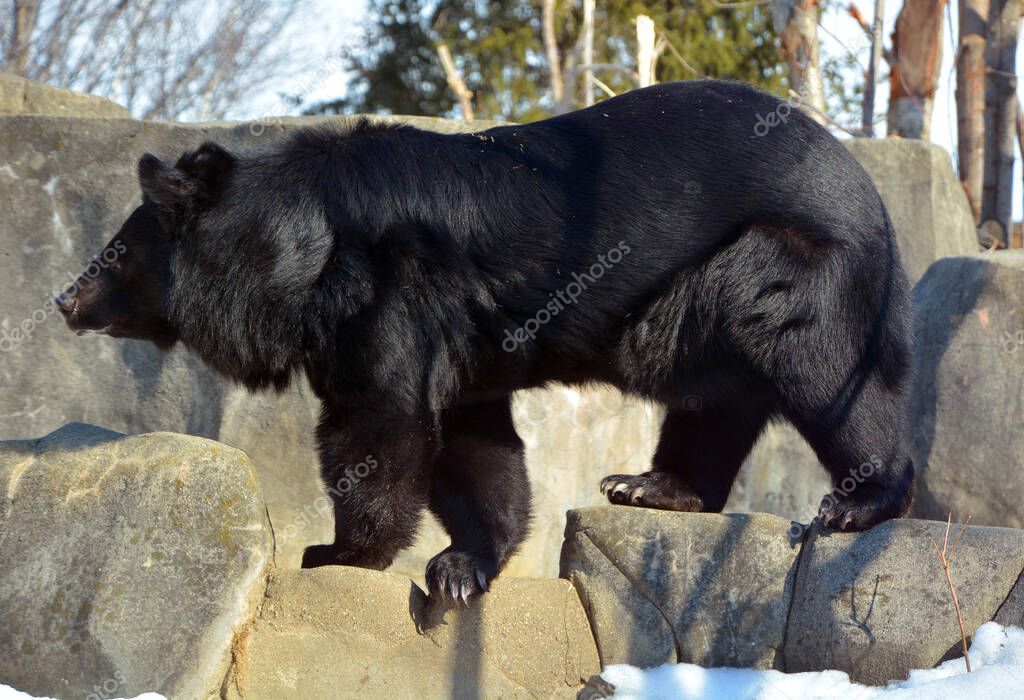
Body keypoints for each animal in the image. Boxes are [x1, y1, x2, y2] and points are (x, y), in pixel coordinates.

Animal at [57, 80, 915, 603]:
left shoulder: (387, 291)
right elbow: (472, 446)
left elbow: (380, 421)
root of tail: (869, 190)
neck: (303, 250)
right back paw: (650, 486)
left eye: (115, 254)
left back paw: (856, 502)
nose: (63, 298)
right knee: (719, 402)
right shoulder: (459, 341)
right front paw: (465, 566)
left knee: (831, 375)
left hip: (787, 263)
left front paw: (338, 553)